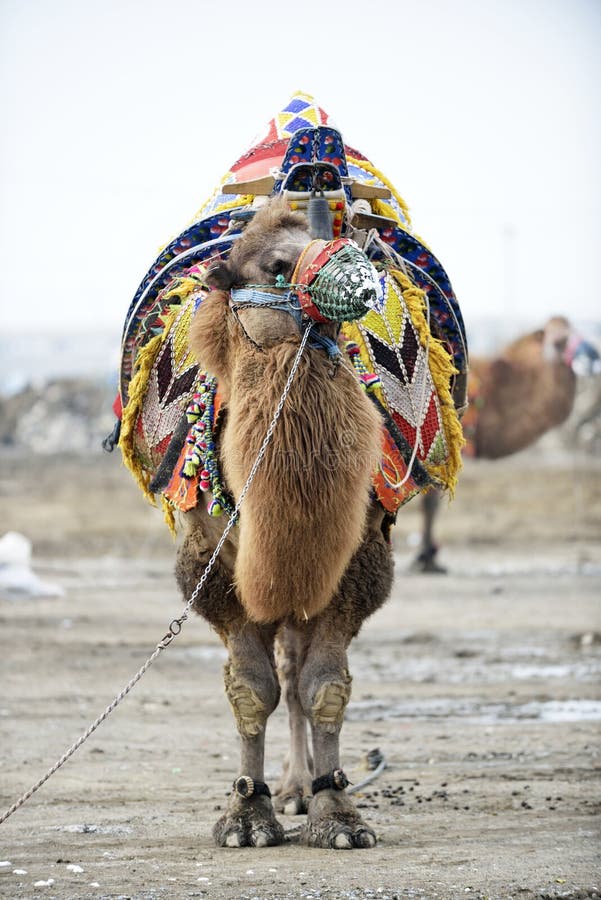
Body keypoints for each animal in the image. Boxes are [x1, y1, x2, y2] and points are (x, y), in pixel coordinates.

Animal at [414, 315, 600, 572]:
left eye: (574, 332)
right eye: (559, 340)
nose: (592, 356)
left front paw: (427, 555)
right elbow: (429, 499)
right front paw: (426, 558)